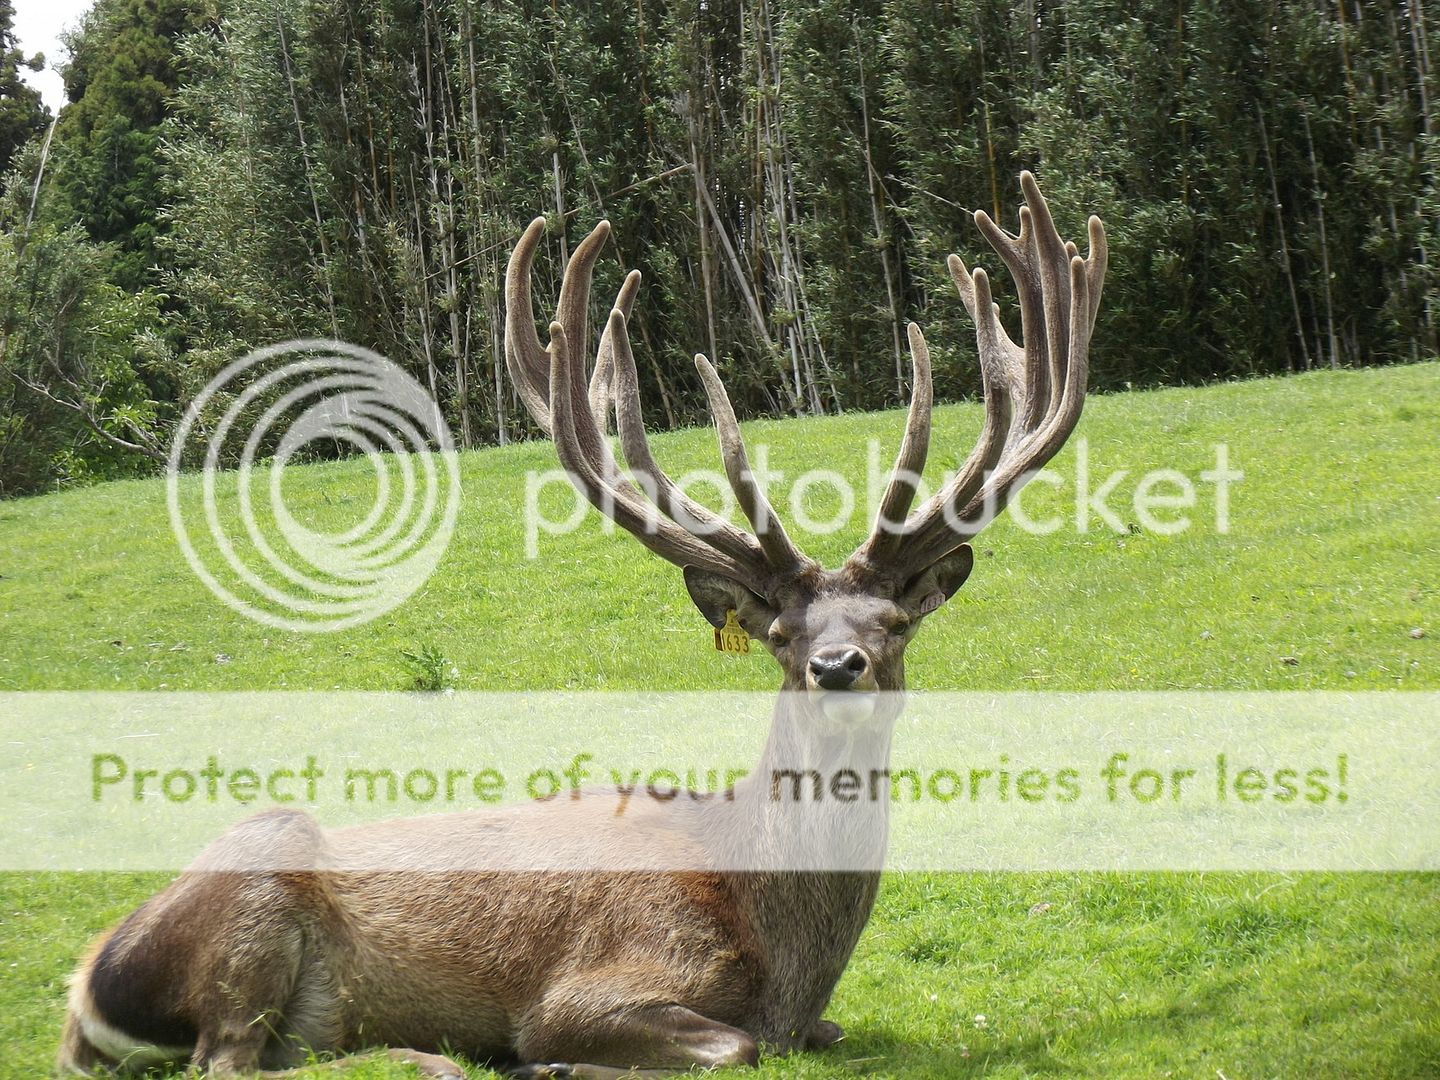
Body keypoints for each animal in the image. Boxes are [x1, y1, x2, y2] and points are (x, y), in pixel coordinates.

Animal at [58, 172, 1105, 1079]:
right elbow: (730, 1044)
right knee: (225, 1060)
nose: (839, 666)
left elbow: (825, 1032)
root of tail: (82, 991)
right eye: (779, 635)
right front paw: (553, 1062)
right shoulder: (594, 980)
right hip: (253, 898)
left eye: (894, 620)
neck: (781, 956)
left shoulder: (815, 1019)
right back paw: (447, 1058)